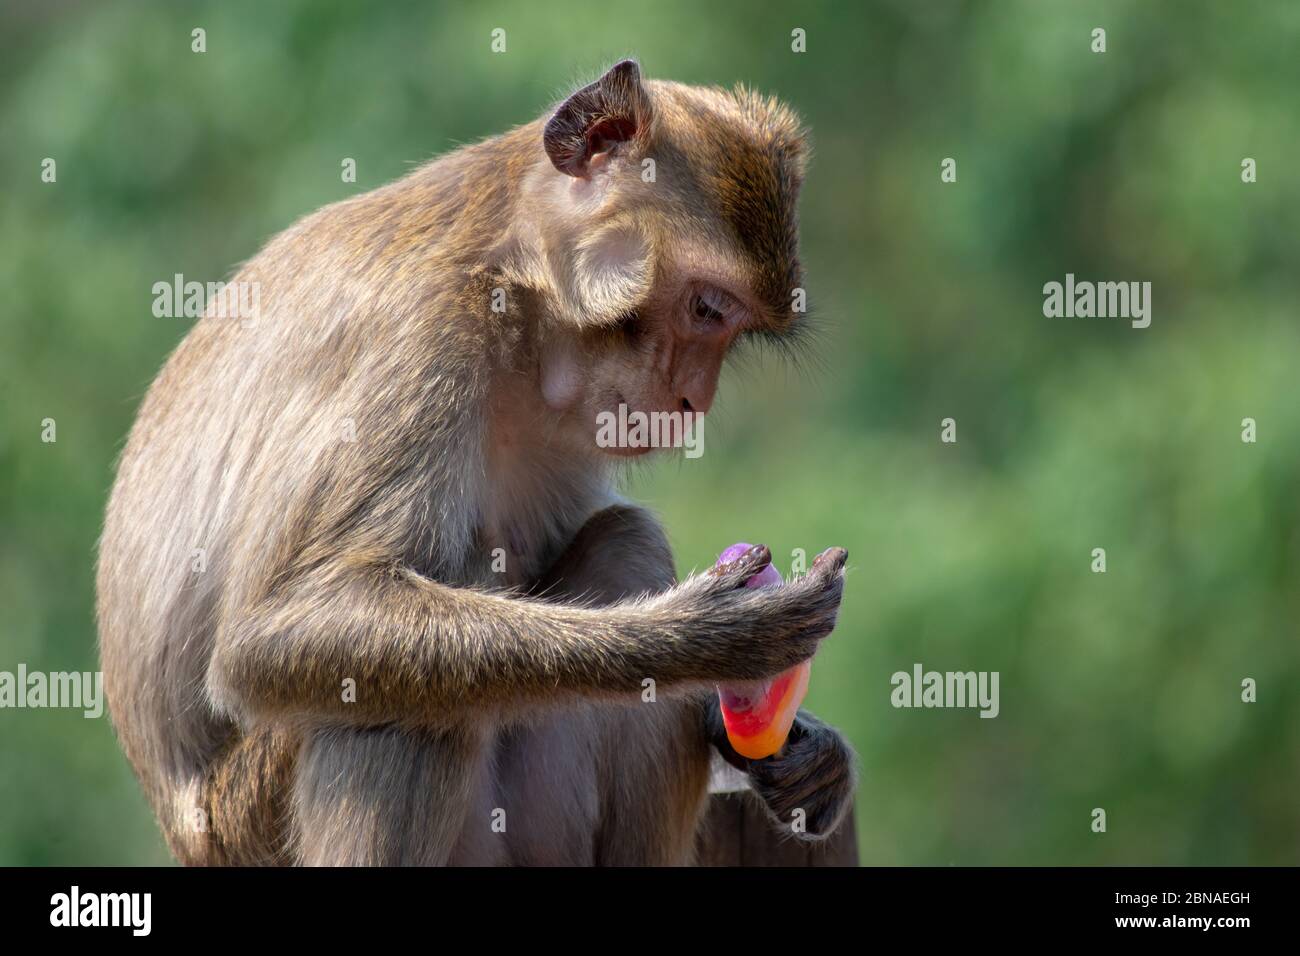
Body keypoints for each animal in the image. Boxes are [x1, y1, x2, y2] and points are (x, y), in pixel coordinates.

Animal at [96, 59, 856, 866]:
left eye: (731, 329)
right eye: (708, 309)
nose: (694, 400)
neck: (514, 290)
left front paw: (808, 754)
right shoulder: (422, 330)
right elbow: (281, 626)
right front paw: (705, 638)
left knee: (624, 545)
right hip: (249, 824)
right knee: (394, 708)